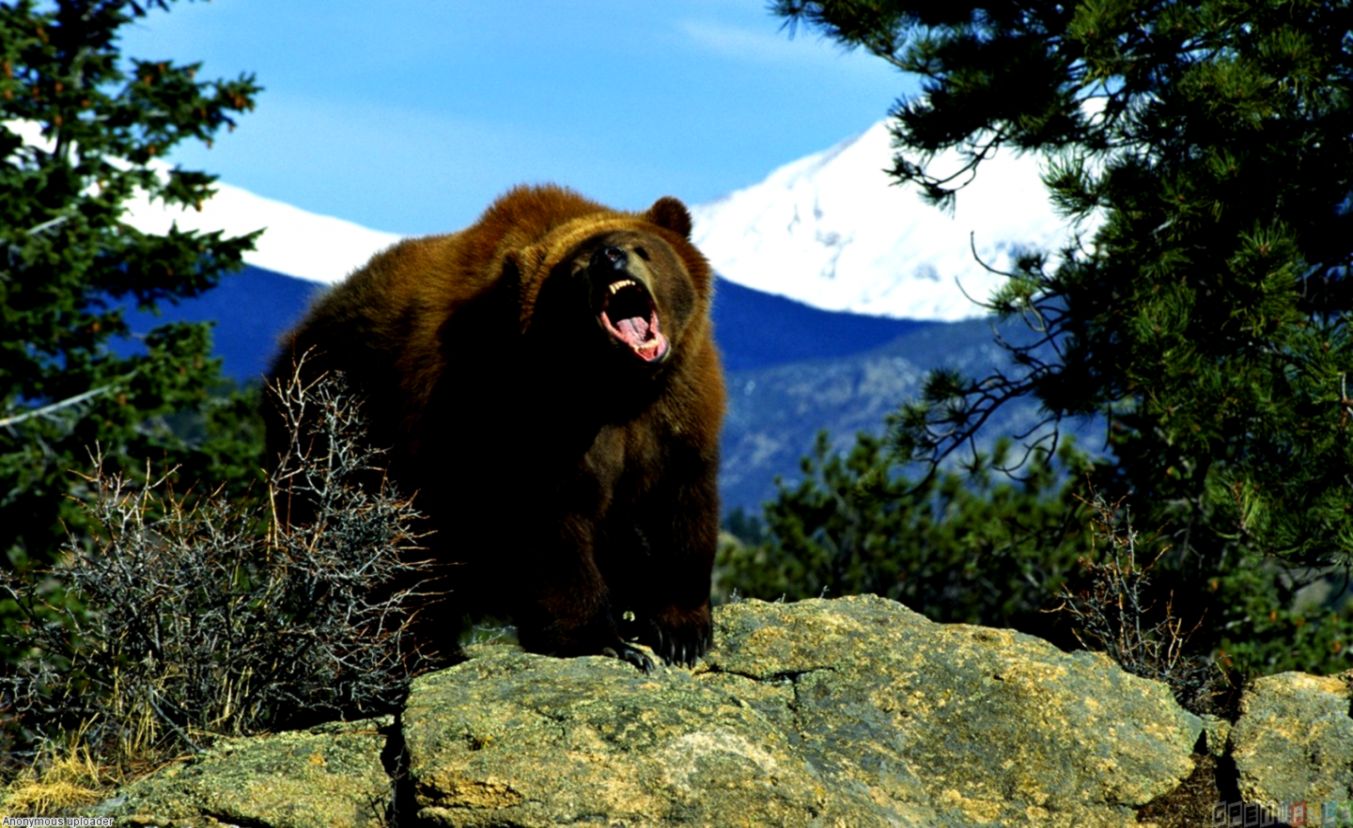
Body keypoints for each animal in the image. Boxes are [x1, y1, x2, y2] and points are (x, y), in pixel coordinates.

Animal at [265, 184, 725, 672]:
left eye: (641, 247)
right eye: (577, 267)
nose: (609, 257)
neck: (613, 385)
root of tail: (293, 338)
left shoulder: (677, 410)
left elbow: (679, 508)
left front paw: (680, 631)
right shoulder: (517, 416)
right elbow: (551, 526)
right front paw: (603, 639)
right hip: (343, 435)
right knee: (395, 565)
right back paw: (417, 652)